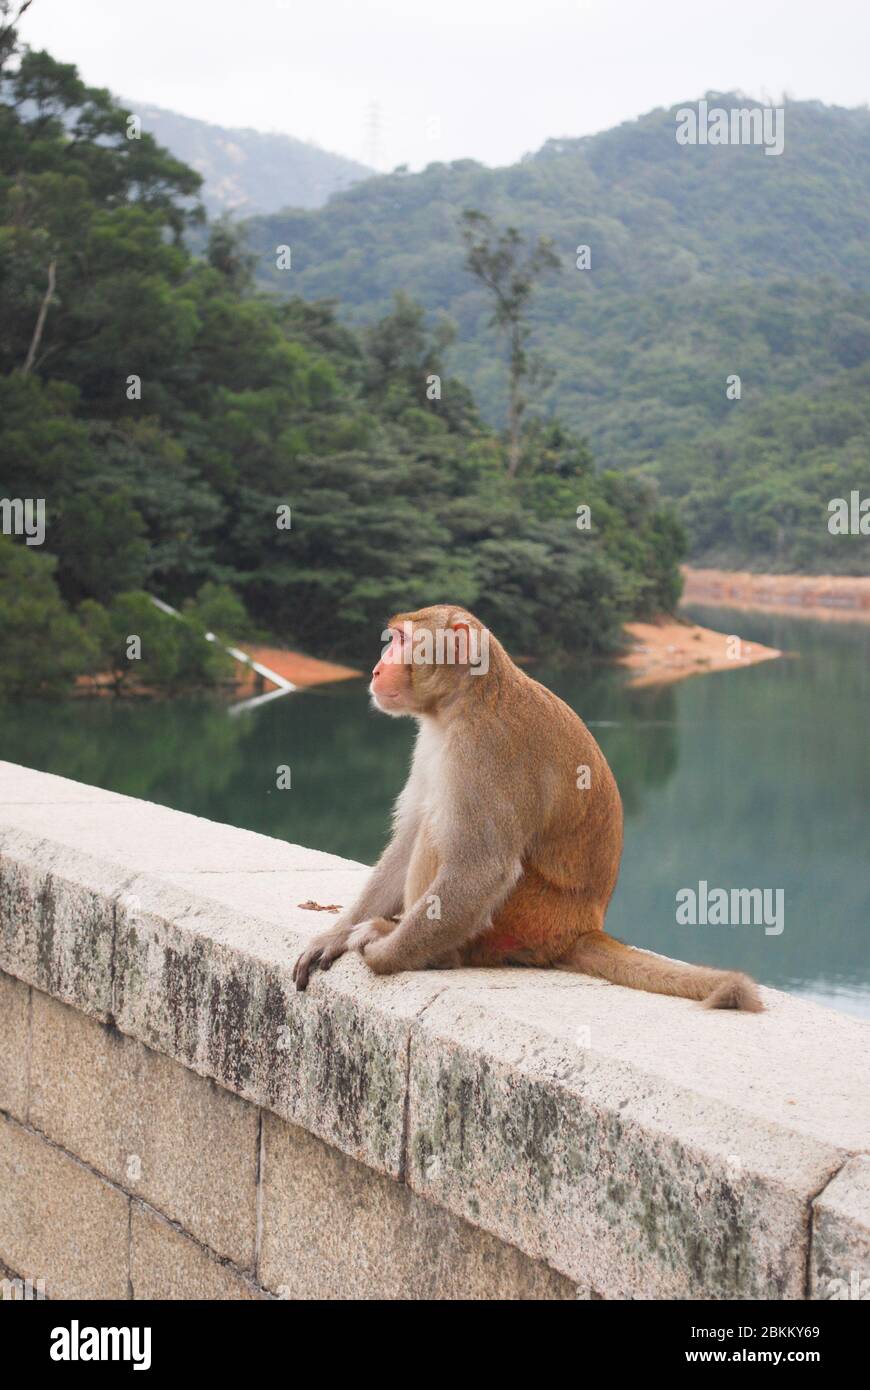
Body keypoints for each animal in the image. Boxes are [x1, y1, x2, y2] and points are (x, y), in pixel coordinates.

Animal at [293, 605, 762, 1012]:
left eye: (402, 641)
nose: (375, 668)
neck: (463, 701)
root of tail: (579, 929)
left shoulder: (485, 750)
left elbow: (482, 868)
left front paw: (384, 955)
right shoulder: (433, 740)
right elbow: (408, 837)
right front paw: (335, 936)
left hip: (525, 918)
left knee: (444, 835)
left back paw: (438, 953)